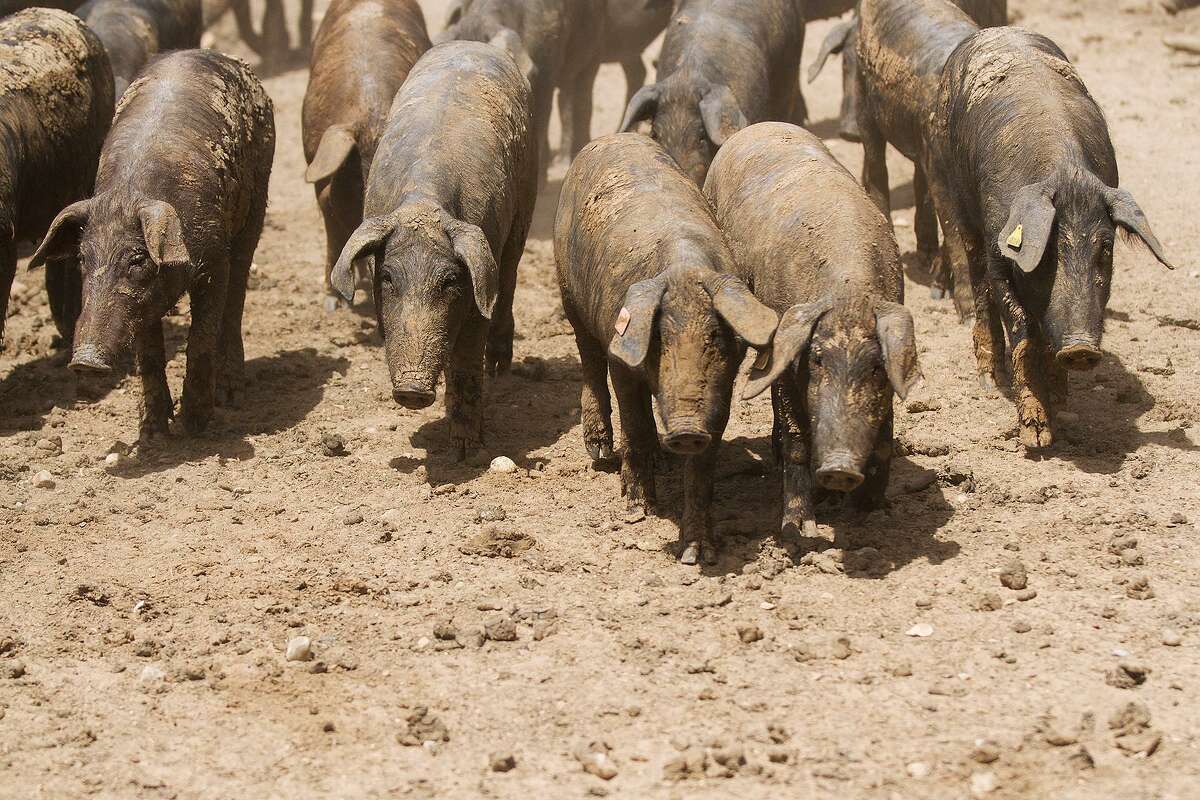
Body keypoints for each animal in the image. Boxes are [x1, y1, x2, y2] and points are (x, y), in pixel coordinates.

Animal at [31, 50, 274, 440]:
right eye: (83, 259)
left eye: (138, 259)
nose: (85, 361)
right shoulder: (142, 303)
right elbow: (148, 351)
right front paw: (153, 432)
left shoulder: (214, 260)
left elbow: (201, 336)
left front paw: (195, 427)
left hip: (259, 196)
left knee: (237, 293)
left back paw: (231, 394)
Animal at [327, 42, 536, 460]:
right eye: (387, 277)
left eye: (451, 280)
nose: (411, 391)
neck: (423, 203)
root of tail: (476, 44)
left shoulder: (480, 270)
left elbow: (467, 358)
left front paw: (465, 450)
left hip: (525, 204)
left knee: (508, 279)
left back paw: (500, 368)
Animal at [556, 133, 779, 565]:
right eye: (660, 339)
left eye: (716, 339)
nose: (686, 430)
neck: (683, 268)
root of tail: (610, 138)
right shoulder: (621, 356)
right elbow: (637, 423)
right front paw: (637, 509)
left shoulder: (722, 389)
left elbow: (703, 465)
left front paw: (698, 554)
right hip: (568, 293)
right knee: (588, 359)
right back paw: (600, 452)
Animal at [705, 123, 919, 538]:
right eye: (817, 359)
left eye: (876, 367)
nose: (839, 469)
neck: (849, 293)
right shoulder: (788, 351)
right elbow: (796, 437)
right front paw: (800, 529)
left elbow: (884, 437)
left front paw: (870, 513)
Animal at [931, 28, 1172, 450]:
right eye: (1046, 252)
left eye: (1105, 248)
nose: (1080, 348)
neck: (1065, 174)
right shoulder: (998, 250)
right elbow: (1023, 332)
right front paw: (1037, 439)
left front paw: (1059, 401)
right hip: (955, 191)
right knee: (977, 282)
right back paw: (988, 380)